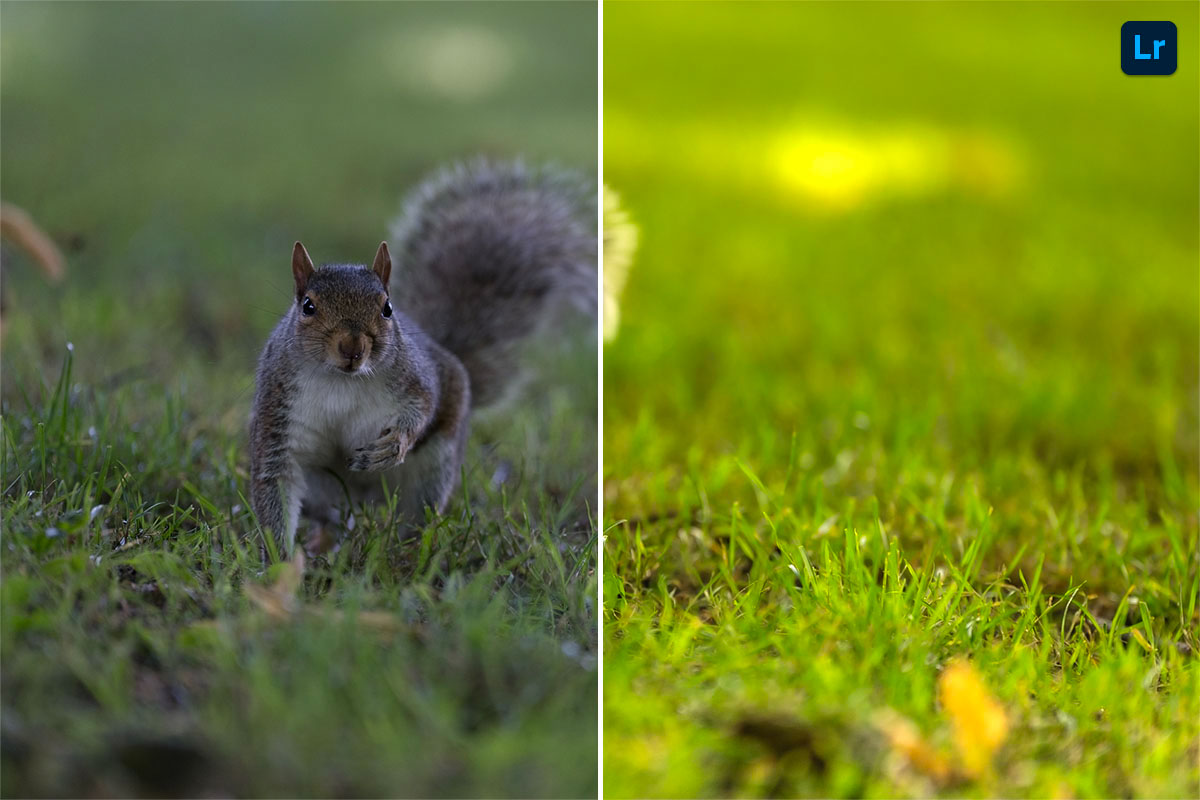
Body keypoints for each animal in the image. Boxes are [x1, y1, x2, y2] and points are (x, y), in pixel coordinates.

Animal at [248, 161, 596, 556]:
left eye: (387, 308)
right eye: (308, 306)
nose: (352, 348)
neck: (342, 380)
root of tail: (364, 498)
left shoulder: (417, 377)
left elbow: (423, 407)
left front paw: (393, 445)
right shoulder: (278, 410)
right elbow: (275, 483)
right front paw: (279, 559)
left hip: (436, 465)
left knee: (418, 514)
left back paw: (411, 550)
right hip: (322, 488)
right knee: (328, 520)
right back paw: (321, 545)